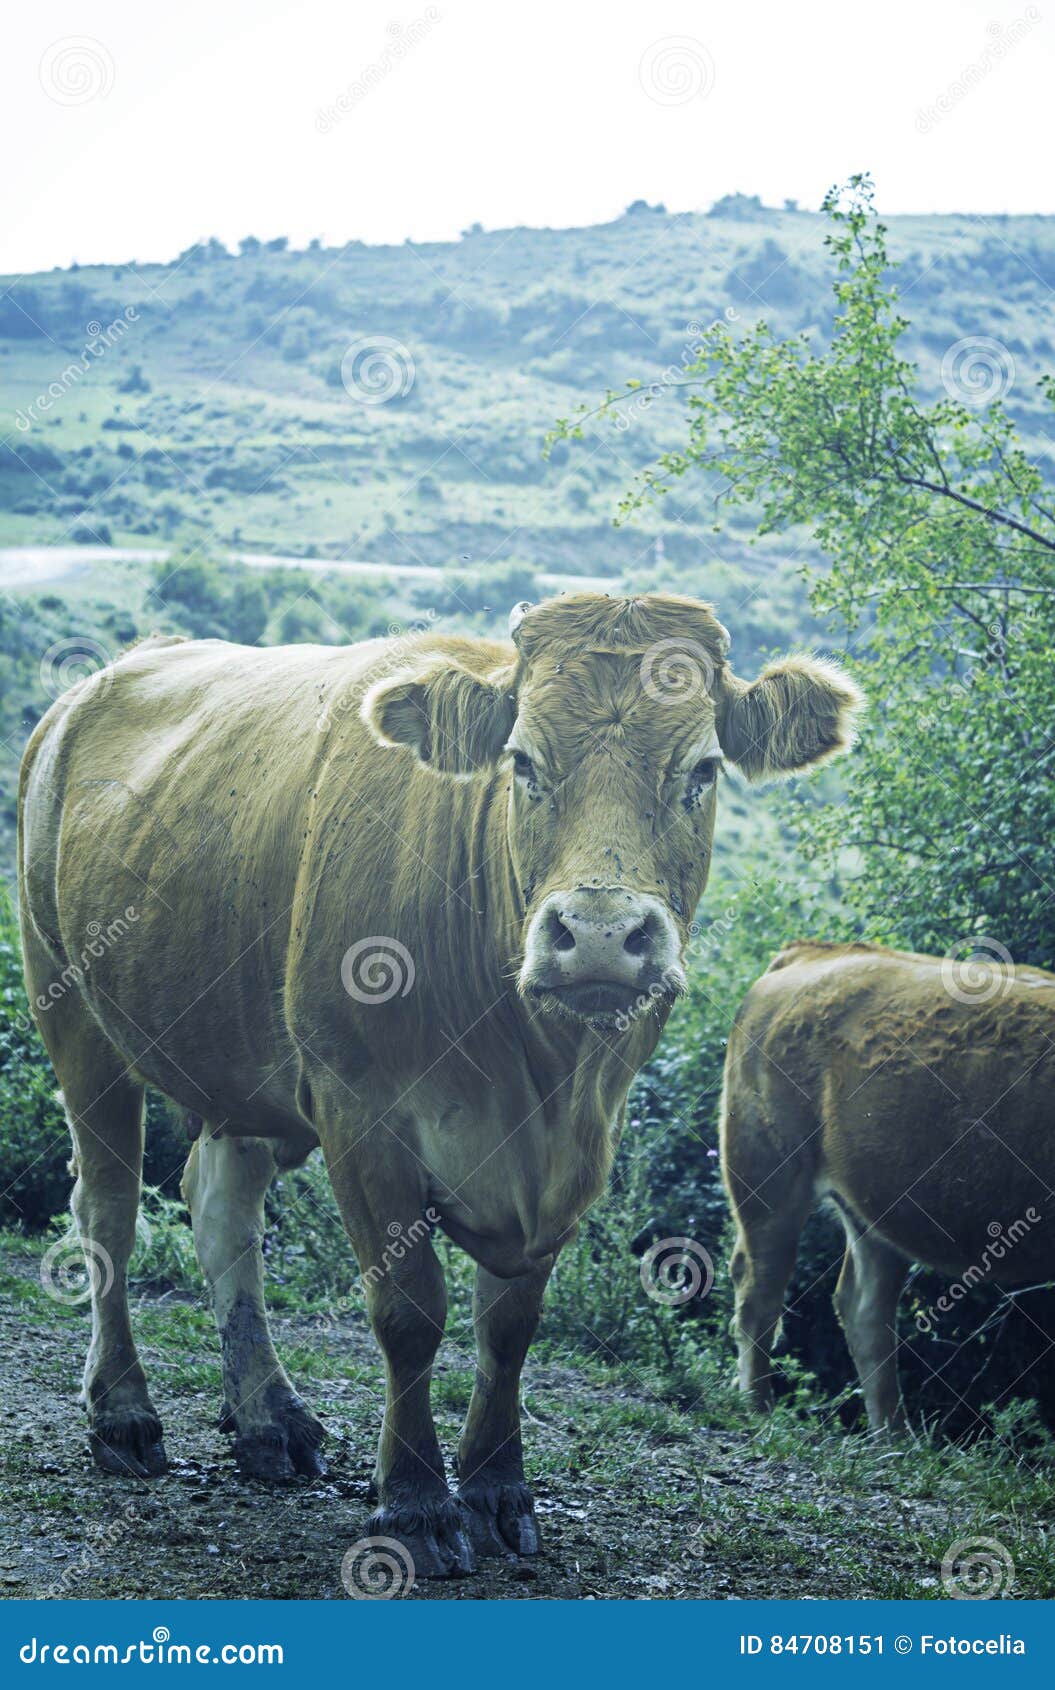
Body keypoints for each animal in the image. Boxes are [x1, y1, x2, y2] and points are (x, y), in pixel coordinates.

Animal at [18, 592, 861, 1577]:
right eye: (523, 762)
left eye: (701, 770)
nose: (599, 935)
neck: (531, 1071)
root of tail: (100, 682)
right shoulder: (358, 1110)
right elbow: (411, 1312)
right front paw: (417, 1503)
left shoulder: (581, 1145)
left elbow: (511, 1324)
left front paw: (496, 1488)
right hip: (69, 1006)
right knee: (109, 1206)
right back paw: (122, 1412)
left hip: (238, 1058)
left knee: (222, 1207)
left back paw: (268, 1416)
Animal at [721, 940, 1055, 1431]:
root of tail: (810, 953)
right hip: (769, 1179)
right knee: (759, 1291)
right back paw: (758, 1409)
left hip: (873, 1212)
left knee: (864, 1310)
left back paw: (893, 1436)